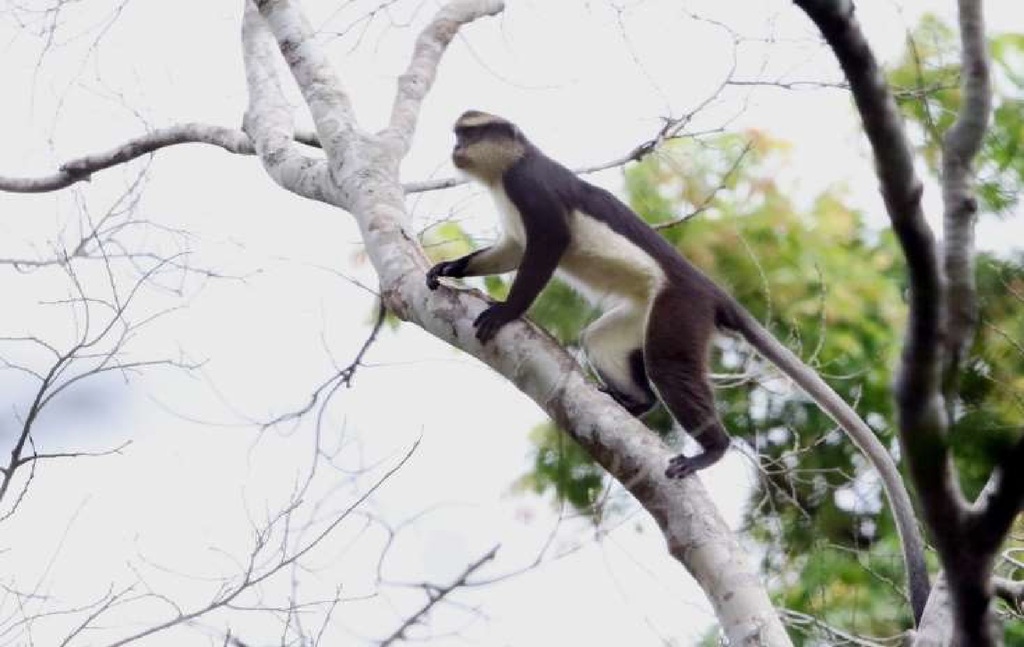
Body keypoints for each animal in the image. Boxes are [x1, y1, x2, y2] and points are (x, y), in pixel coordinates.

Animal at [426, 110, 929, 621]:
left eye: (468, 133)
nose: (455, 149)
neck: (509, 168)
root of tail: (709, 291)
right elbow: (510, 248)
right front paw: (447, 269)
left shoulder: (530, 187)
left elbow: (547, 245)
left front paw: (507, 311)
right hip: (643, 313)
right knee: (602, 340)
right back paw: (634, 402)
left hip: (678, 309)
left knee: (667, 367)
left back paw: (712, 448)